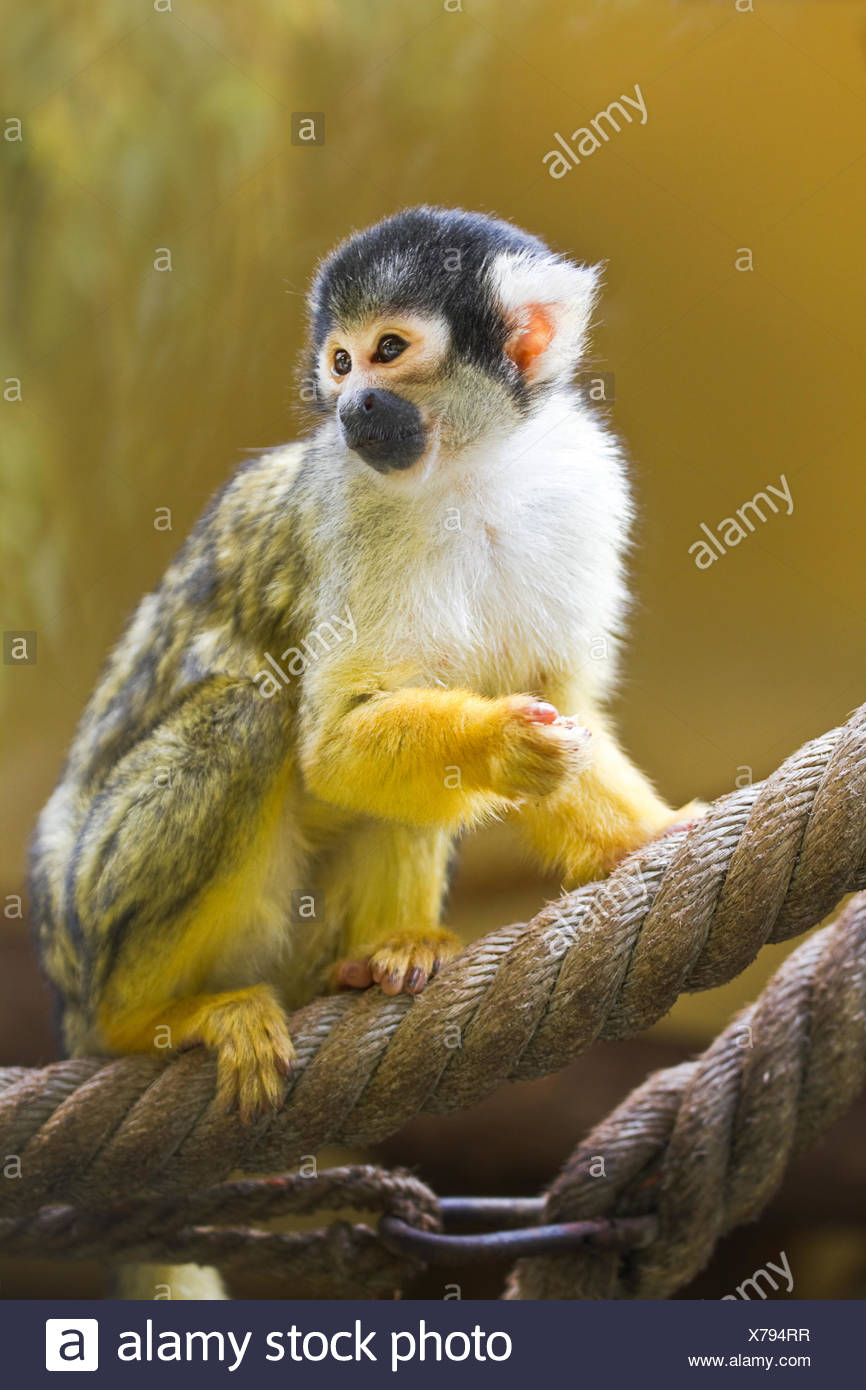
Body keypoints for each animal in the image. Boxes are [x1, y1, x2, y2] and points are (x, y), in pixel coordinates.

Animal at [30, 205, 699, 1132]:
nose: (351, 404)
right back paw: (156, 1018)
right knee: (251, 713)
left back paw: (386, 954)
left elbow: (559, 704)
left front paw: (646, 836)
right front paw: (502, 744)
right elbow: (337, 742)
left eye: (388, 349)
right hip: (95, 910)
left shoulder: (582, 486)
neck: (469, 466)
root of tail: (67, 998)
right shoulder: (350, 505)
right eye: (339, 362)